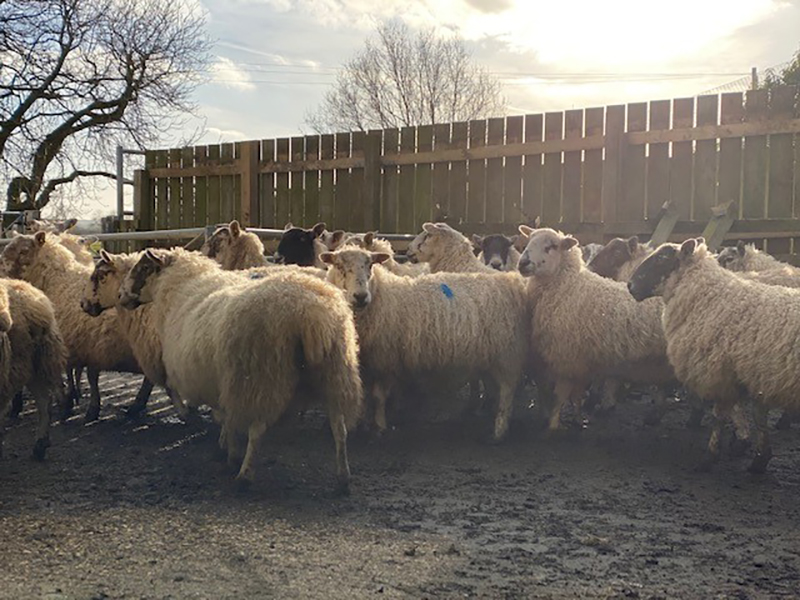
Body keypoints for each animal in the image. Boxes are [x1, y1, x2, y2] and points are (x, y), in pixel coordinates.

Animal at [1, 231, 151, 422]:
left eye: (24, 251)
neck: (56, 280)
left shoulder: (65, 344)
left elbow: (67, 378)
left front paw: (69, 406)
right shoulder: (84, 345)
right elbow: (86, 376)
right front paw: (79, 402)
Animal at [117, 248, 363, 491]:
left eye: (143, 267)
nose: (120, 295)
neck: (182, 287)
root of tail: (310, 314)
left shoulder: (225, 380)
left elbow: (227, 418)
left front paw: (229, 451)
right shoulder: (223, 380)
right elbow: (227, 417)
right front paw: (224, 447)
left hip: (259, 377)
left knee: (257, 430)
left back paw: (244, 475)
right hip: (334, 374)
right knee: (339, 428)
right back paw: (343, 478)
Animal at [320, 246, 528, 441]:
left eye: (370, 265)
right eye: (339, 266)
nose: (361, 296)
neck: (380, 297)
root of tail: (511, 281)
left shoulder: (385, 360)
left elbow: (378, 397)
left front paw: (379, 427)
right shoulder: (366, 362)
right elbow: (364, 397)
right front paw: (362, 423)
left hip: (507, 355)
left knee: (507, 391)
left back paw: (498, 431)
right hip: (490, 357)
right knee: (494, 388)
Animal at [517, 226, 677, 432]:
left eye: (551, 246)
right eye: (528, 240)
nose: (523, 263)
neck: (568, 286)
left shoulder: (567, 357)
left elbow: (560, 396)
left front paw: (553, 425)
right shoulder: (580, 361)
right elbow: (575, 394)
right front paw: (578, 419)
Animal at [628, 237, 800, 473]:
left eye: (662, 258)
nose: (630, 285)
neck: (711, 296)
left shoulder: (718, 371)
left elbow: (719, 417)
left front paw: (711, 456)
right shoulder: (752, 376)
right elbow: (758, 418)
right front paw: (758, 458)